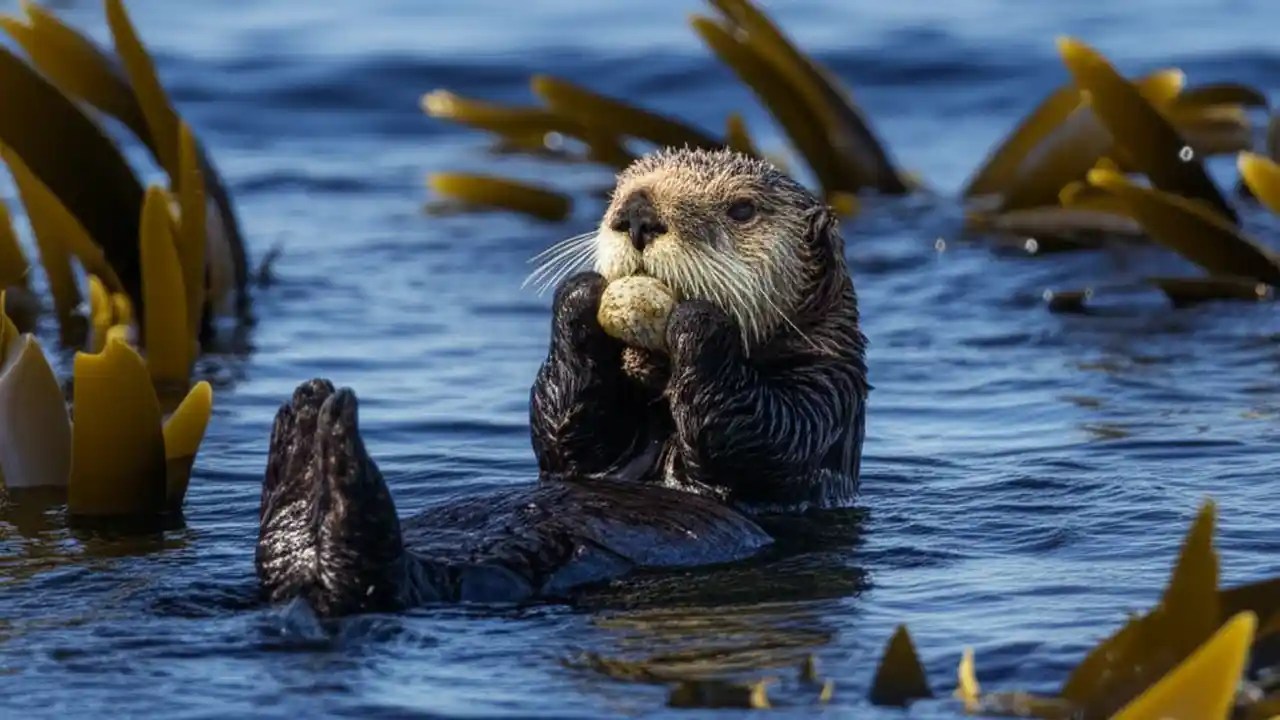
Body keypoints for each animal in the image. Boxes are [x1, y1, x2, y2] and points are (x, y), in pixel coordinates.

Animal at [256, 148, 868, 615]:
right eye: (620, 190)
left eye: (742, 209)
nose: (637, 215)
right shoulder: (592, 442)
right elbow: (564, 432)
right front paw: (580, 293)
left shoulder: (827, 393)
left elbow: (764, 434)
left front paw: (697, 317)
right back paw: (306, 424)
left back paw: (324, 439)